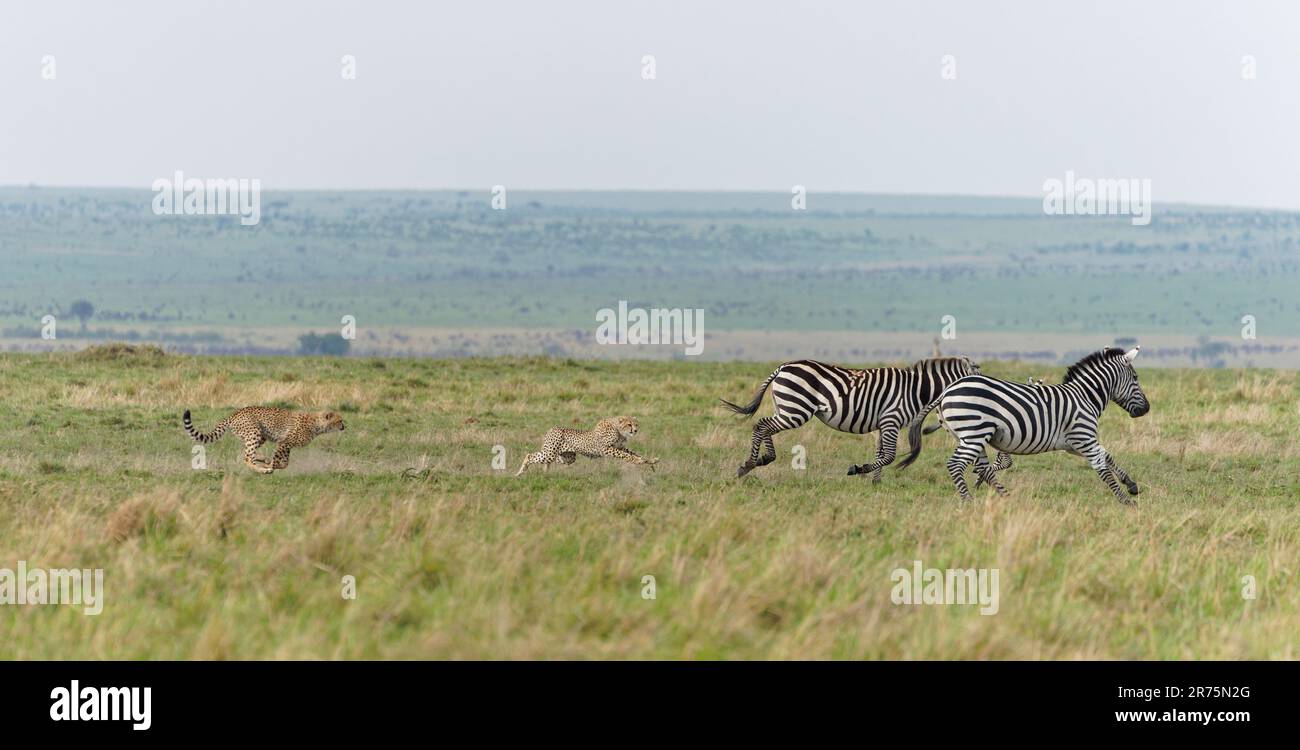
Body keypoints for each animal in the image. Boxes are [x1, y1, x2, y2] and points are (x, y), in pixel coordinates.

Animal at [183, 407, 345, 474]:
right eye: (339, 420)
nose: (345, 426)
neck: (317, 425)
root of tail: (235, 413)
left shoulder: (287, 445)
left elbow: (285, 463)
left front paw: (269, 463)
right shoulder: (284, 443)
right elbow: (279, 461)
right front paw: (269, 467)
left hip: (260, 436)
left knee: (246, 455)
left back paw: (262, 460)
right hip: (254, 433)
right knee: (247, 458)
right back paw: (262, 470)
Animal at [515, 416, 658, 476]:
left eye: (636, 424)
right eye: (629, 424)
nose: (635, 430)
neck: (618, 429)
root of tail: (553, 428)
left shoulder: (620, 447)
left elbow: (634, 453)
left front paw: (649, 461)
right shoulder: (607, 449)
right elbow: (626, 456)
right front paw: (638, 461)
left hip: (568, 457)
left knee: (553, 460)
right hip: (549, 453)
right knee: (530, 456)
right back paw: (520, 472)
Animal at [720, 356, 980, 480]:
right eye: (977, 375)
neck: (916, 390)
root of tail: (783, 367)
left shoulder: (883, 423)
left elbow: (881, 454)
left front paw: (875, 482)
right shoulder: (891, 420)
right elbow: (889, 455)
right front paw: (859, 470)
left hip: (786, 407)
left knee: (765, 426)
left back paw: (762, 459)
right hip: (796, 409)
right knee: (761, 425)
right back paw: (749, 465)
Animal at [898, 346, 1150, 503]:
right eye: (1136, 378)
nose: (1146, 409)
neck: (1084, 396)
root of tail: (947, 390)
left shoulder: (1075, 443)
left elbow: (1108, 456)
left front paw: (1131, 485)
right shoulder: (1083, 437)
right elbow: (1103, 468)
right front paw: (1126, 501)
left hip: (970, 436)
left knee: (982, 468)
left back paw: (1006, 498)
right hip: (974, 433)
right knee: (956, 464)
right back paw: (968, 501)